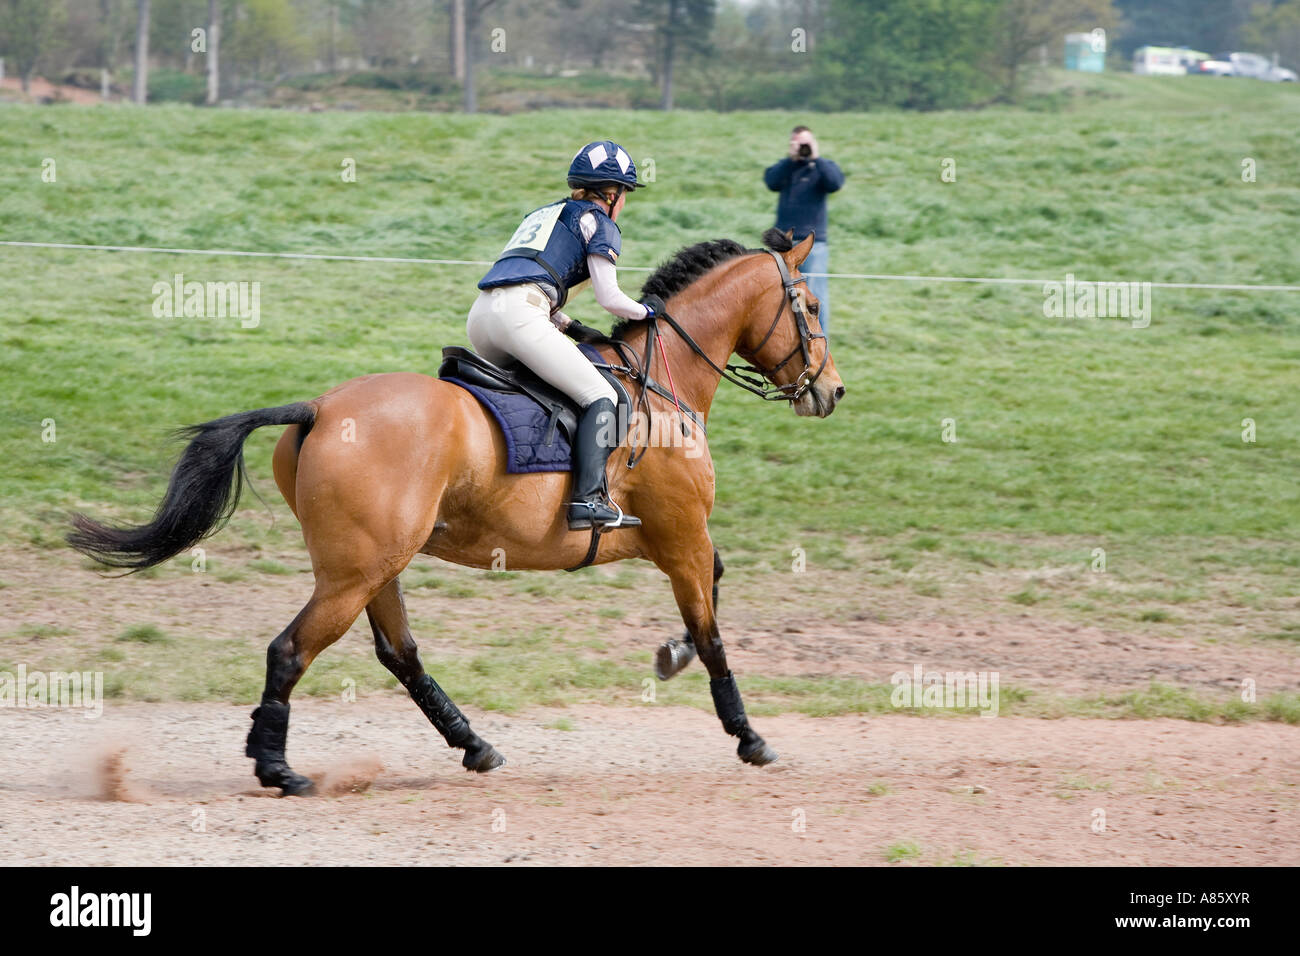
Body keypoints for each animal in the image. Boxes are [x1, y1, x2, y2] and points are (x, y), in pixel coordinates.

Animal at [68, 228, 845, 795]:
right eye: (808, 306)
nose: (831, 391)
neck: (663, 384)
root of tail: (319, 408)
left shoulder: (663, 538)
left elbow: (713, 588)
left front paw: (671, 654)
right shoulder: (680, 533)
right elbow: (712, 630)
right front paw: (748, 736)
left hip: (377, 563)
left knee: (398, 653)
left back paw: (474, 745)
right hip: (355, 572)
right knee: (291, 651)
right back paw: (280, 769)